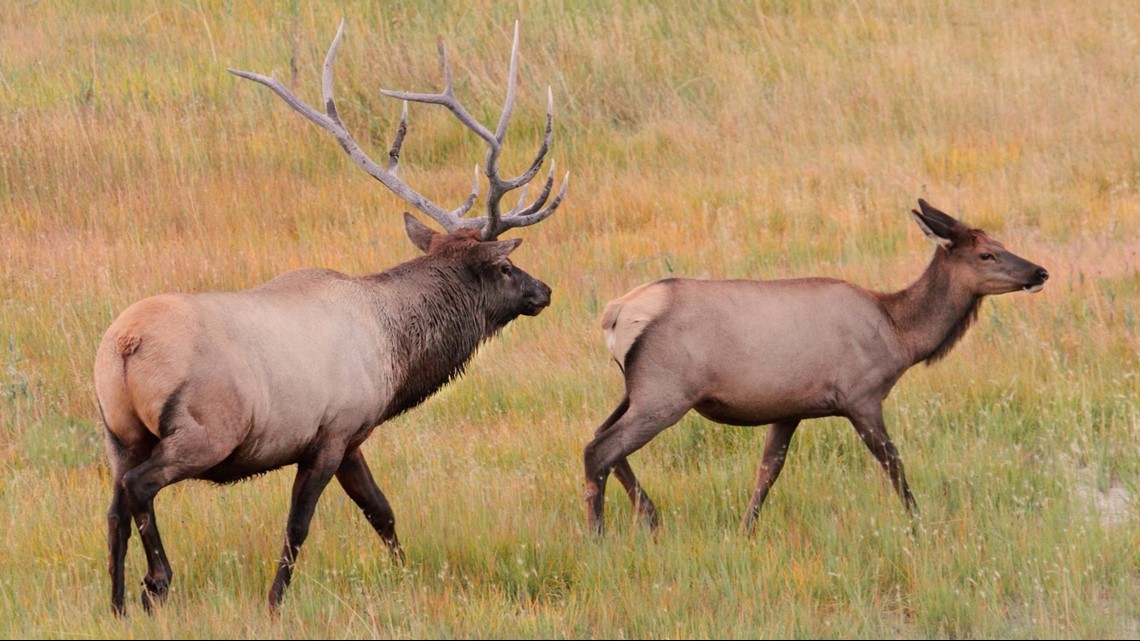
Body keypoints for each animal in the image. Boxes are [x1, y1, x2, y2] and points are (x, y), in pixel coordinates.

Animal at [94, 20, 567, 615]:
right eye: (505, 267)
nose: (543, 290)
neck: (396, 357)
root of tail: (124, 345)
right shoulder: (332, 433)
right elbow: (298, 528)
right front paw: (274, 602)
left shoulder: (354, 438)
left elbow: (381, 511)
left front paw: (406, 575)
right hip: (202, 431)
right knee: (140, 488)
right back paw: (156, 581)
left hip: (117, 432)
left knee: (113, 508)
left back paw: (117, 602)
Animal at [584, 199, 1048, 535]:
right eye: (987, 254)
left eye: (1001, 244)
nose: (1040, 271)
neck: (900, 335)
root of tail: (614, 314)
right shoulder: (861, 397)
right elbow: (894, 463)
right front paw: (920, 524)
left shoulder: (788, 409)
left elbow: (767, 471)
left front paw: (745, 529)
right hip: (664, 392)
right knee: (599, 449)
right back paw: (598, 533)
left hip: (633, 390)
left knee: (601, 439)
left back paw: (649, 516)